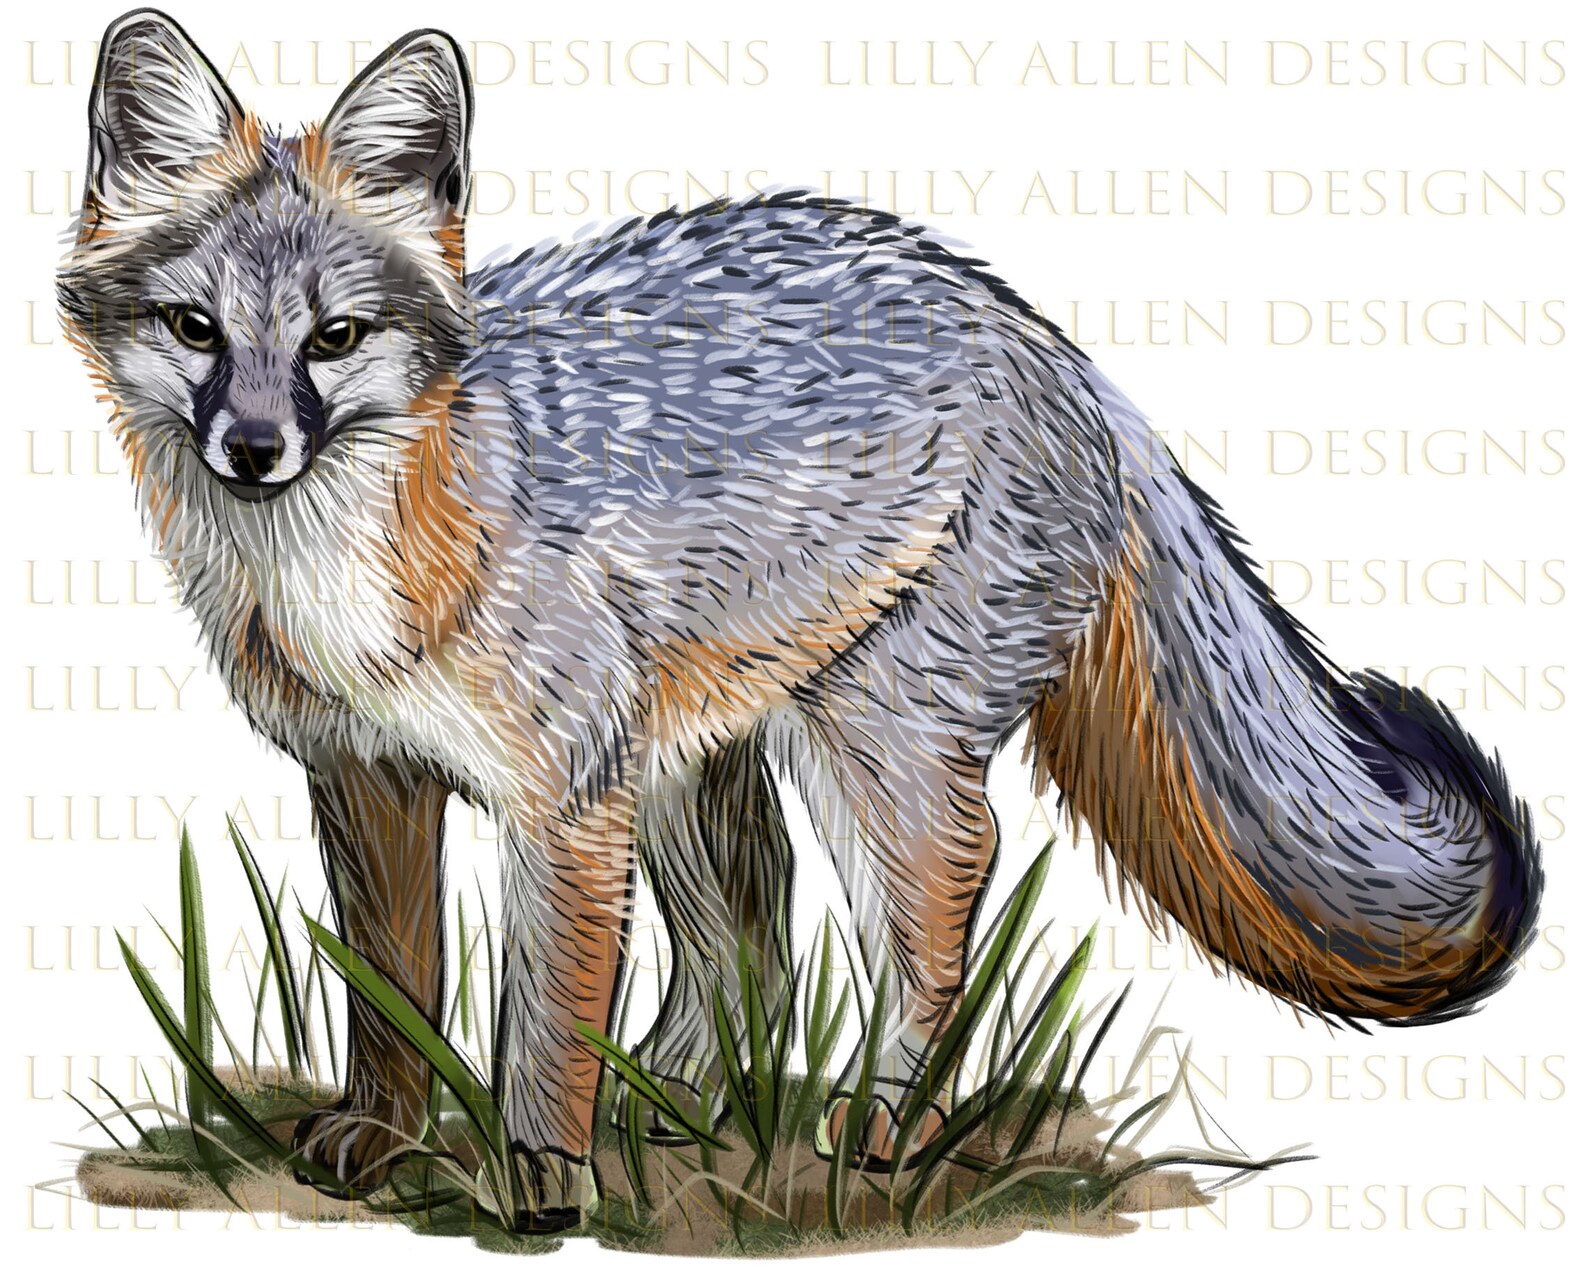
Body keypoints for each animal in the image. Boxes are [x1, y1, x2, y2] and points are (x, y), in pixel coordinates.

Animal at [59, 10, 1542, 1232]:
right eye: (195, 329)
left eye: (334, 338)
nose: (255, 447)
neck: (349, 576)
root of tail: (1045, 338)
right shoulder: (370, 774)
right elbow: (392, 989)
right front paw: (382, 1134)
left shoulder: (562, 799)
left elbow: (545, 1015)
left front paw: (538, 1175)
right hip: (689, 760)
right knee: (750, 923)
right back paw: (681, 1093)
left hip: (862, 743)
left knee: (941, 896)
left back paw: (878, 1120)